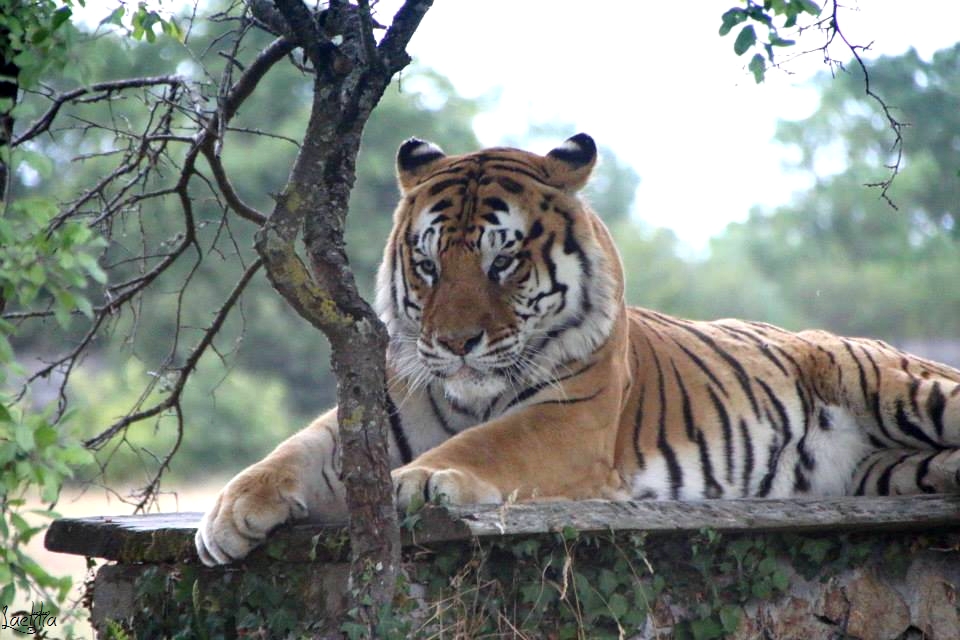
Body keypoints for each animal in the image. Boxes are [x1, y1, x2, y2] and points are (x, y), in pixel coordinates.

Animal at [195, 133, 960, 566]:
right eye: (429, 265)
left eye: (503, 262)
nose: (455, 344)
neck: (470, 394)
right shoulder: (378, 412)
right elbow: (291, 453)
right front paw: (226, 517)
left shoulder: (569, 421)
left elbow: (489, 444)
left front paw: (417, 481)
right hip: (886, 473)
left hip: (909, 389)